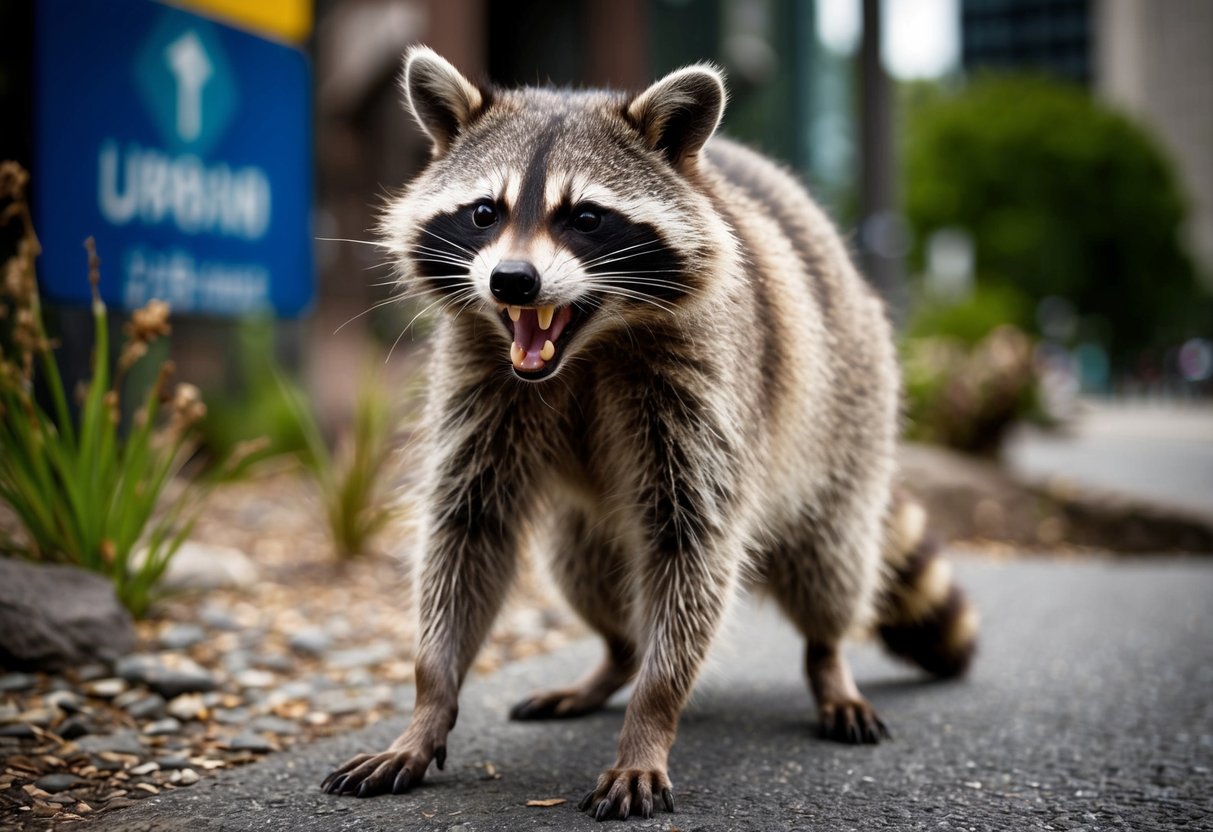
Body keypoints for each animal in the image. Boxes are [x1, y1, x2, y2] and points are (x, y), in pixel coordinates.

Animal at [320, 47, 978, 820]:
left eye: (586, 218)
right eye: (484, 212)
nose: (512, 281)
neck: (589, 345)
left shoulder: (707, 385)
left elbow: (691, 544)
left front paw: (651, 722)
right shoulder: (480, 380)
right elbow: (467, 527)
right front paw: (428, 702)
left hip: (853, 411)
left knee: (830, 564)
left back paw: (828, 659)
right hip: (586, 523)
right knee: (587, 576)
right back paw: (614, 659)